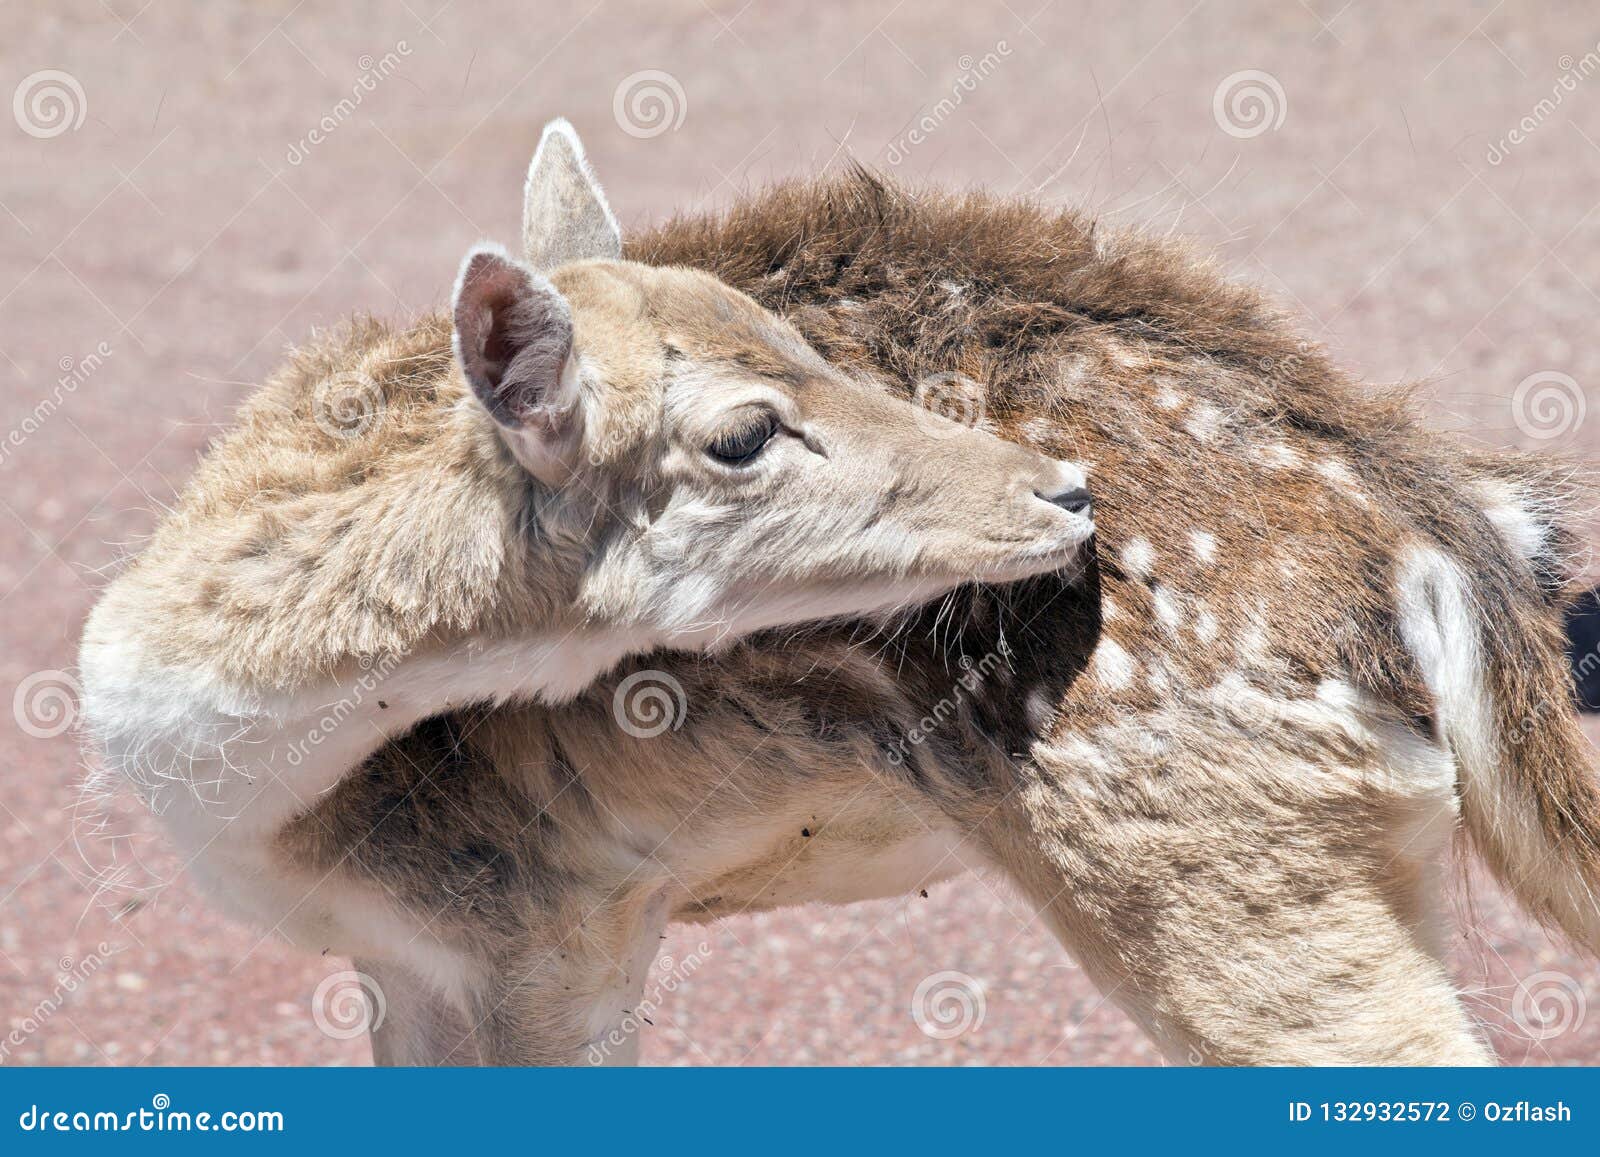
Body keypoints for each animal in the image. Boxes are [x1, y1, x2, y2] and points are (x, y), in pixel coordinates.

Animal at [87, 120, 1600, 1066]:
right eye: (745, 430)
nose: (1061, 495)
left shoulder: (545, 914)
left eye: (798, 340)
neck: (243, 790)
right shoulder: (403, 958)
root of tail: (1432, 516)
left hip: (1204, 842)